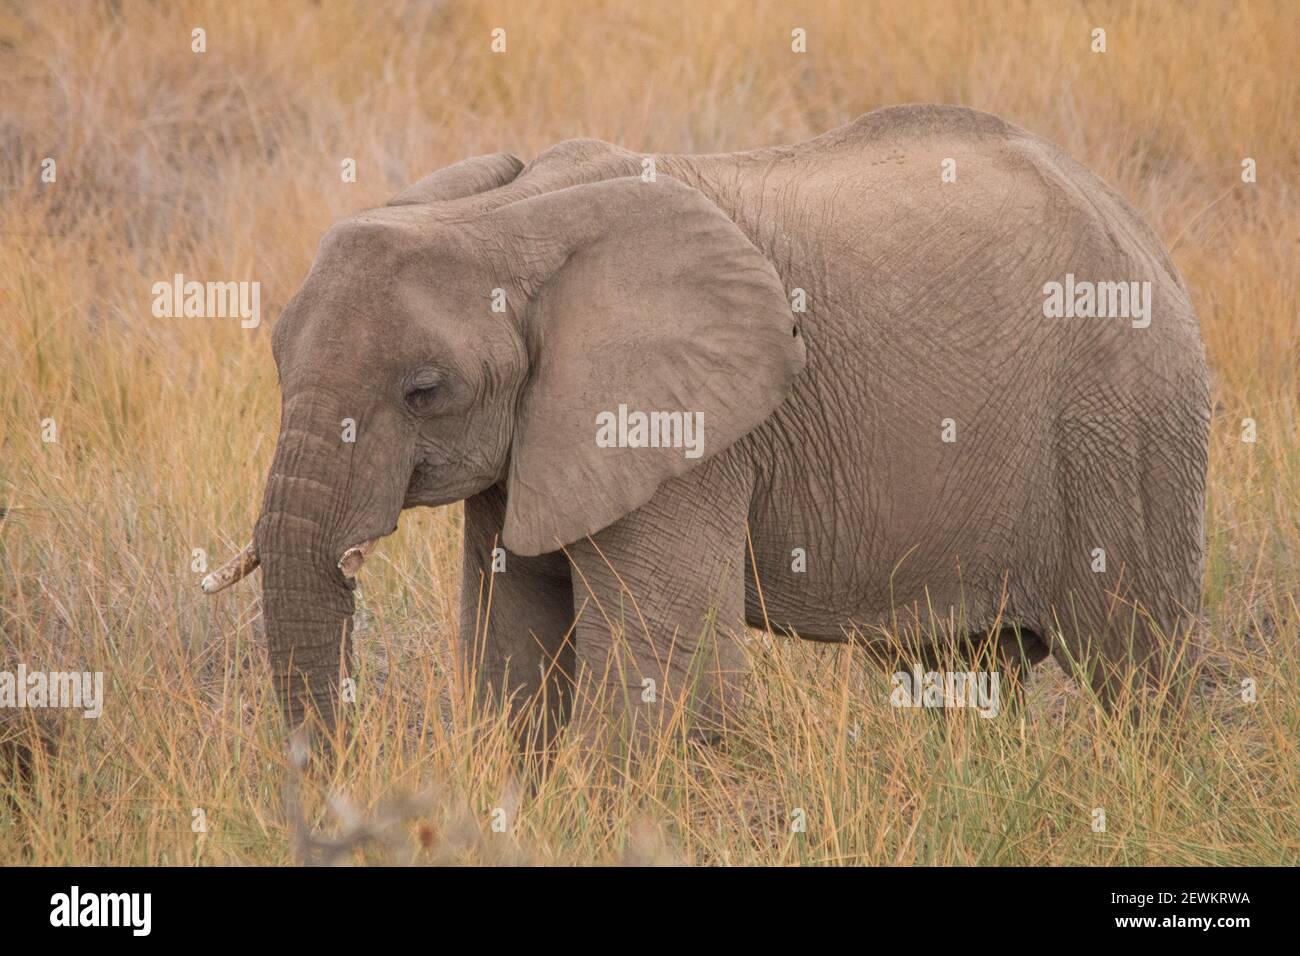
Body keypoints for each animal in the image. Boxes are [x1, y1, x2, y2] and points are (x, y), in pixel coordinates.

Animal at [204, 104, 1210, 744]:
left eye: (424, 390)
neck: (499, 217)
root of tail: (1135, 225)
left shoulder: (679, 439)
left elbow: (666, 674)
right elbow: (511, 647)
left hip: (1123, 429)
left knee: (1139, 670)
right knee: (960, 670)